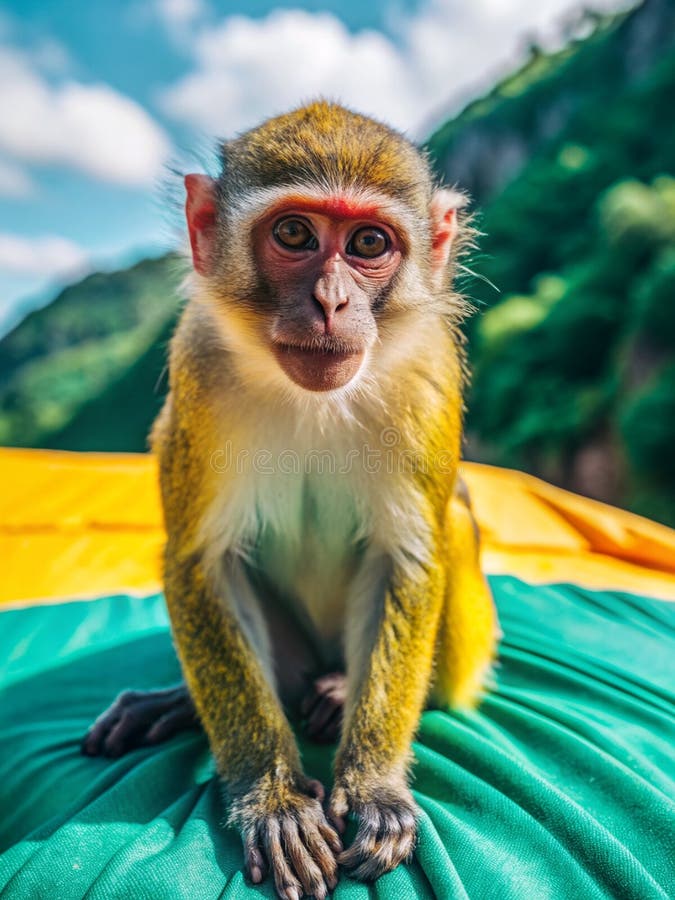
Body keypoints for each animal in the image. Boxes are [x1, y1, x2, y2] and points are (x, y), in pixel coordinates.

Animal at [83, 101, 498, 900]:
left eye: (368, 242)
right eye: (296, 235)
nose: (332, 301)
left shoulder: (428, 372)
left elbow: (408, 557)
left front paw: (372, 785)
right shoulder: (199, 366)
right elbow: (200, 562)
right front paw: (271, 797)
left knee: (455, 521)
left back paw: (337, 693)